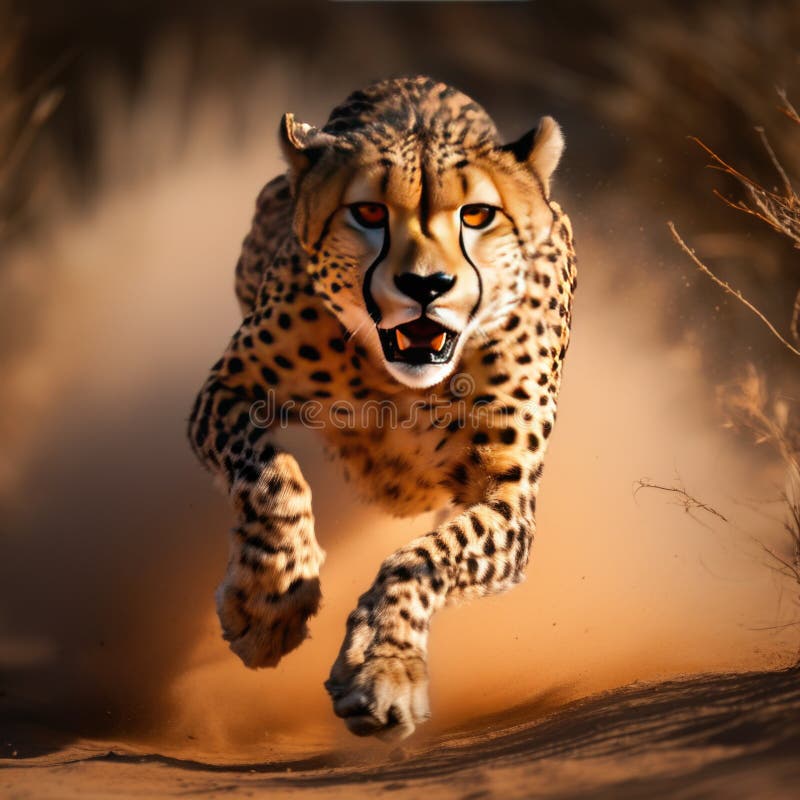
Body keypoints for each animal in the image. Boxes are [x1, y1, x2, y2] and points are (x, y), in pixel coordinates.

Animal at [188, 75, 576, 741]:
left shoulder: (507, 498)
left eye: (478, 214)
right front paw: (269, 603)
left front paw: (383, 668)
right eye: (368, 213)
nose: (426, 285)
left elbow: (426, 557)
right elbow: (271, 479)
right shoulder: (229, 391)